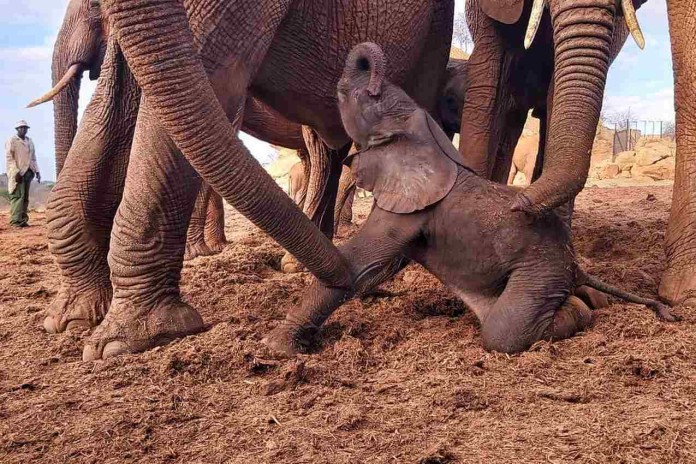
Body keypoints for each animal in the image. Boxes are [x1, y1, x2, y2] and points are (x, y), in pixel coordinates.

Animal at [37, 0, 455, 360]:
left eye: (93, 12)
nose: (353, 281)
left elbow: (212, 85)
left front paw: (122, 343)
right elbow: (118, 102)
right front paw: (71, 320)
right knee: (325, 149)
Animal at [265, 43, 676, 356]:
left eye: (364, 97)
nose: (368, 65)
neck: (423, 135)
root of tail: (575, 265)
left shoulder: (407, 209)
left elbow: (360, 263)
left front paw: (275, 349)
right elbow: (377, 266)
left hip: (540, 270)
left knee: (504, 330)